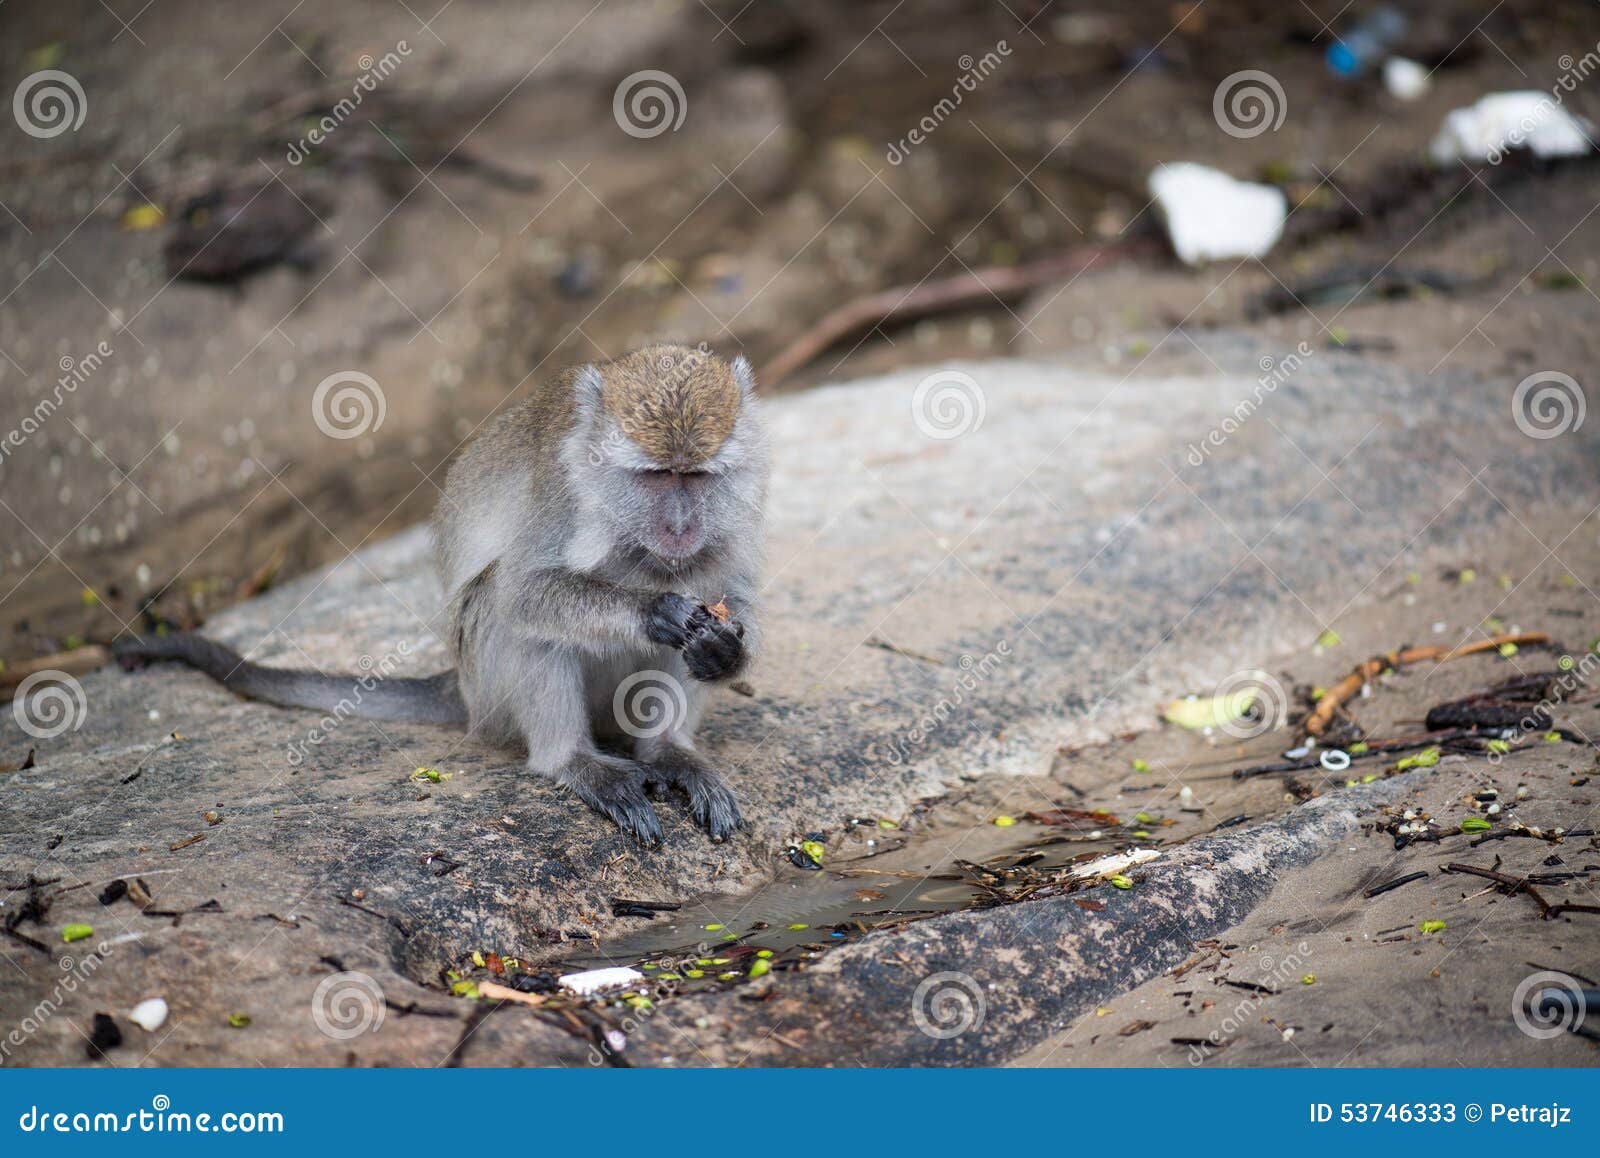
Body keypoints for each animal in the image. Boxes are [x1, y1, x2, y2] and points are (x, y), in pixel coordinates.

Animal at [116, 344, 768, 845]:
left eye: (697, 476)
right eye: (658, 475)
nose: (679, 527)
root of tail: (460, 688)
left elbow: (732, 592)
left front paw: (724, 649)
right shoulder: (562, 492)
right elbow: (523, 594)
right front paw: (654, 611)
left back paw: (665, 749)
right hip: (491, 694)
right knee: (504, 608)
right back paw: (573, 762)